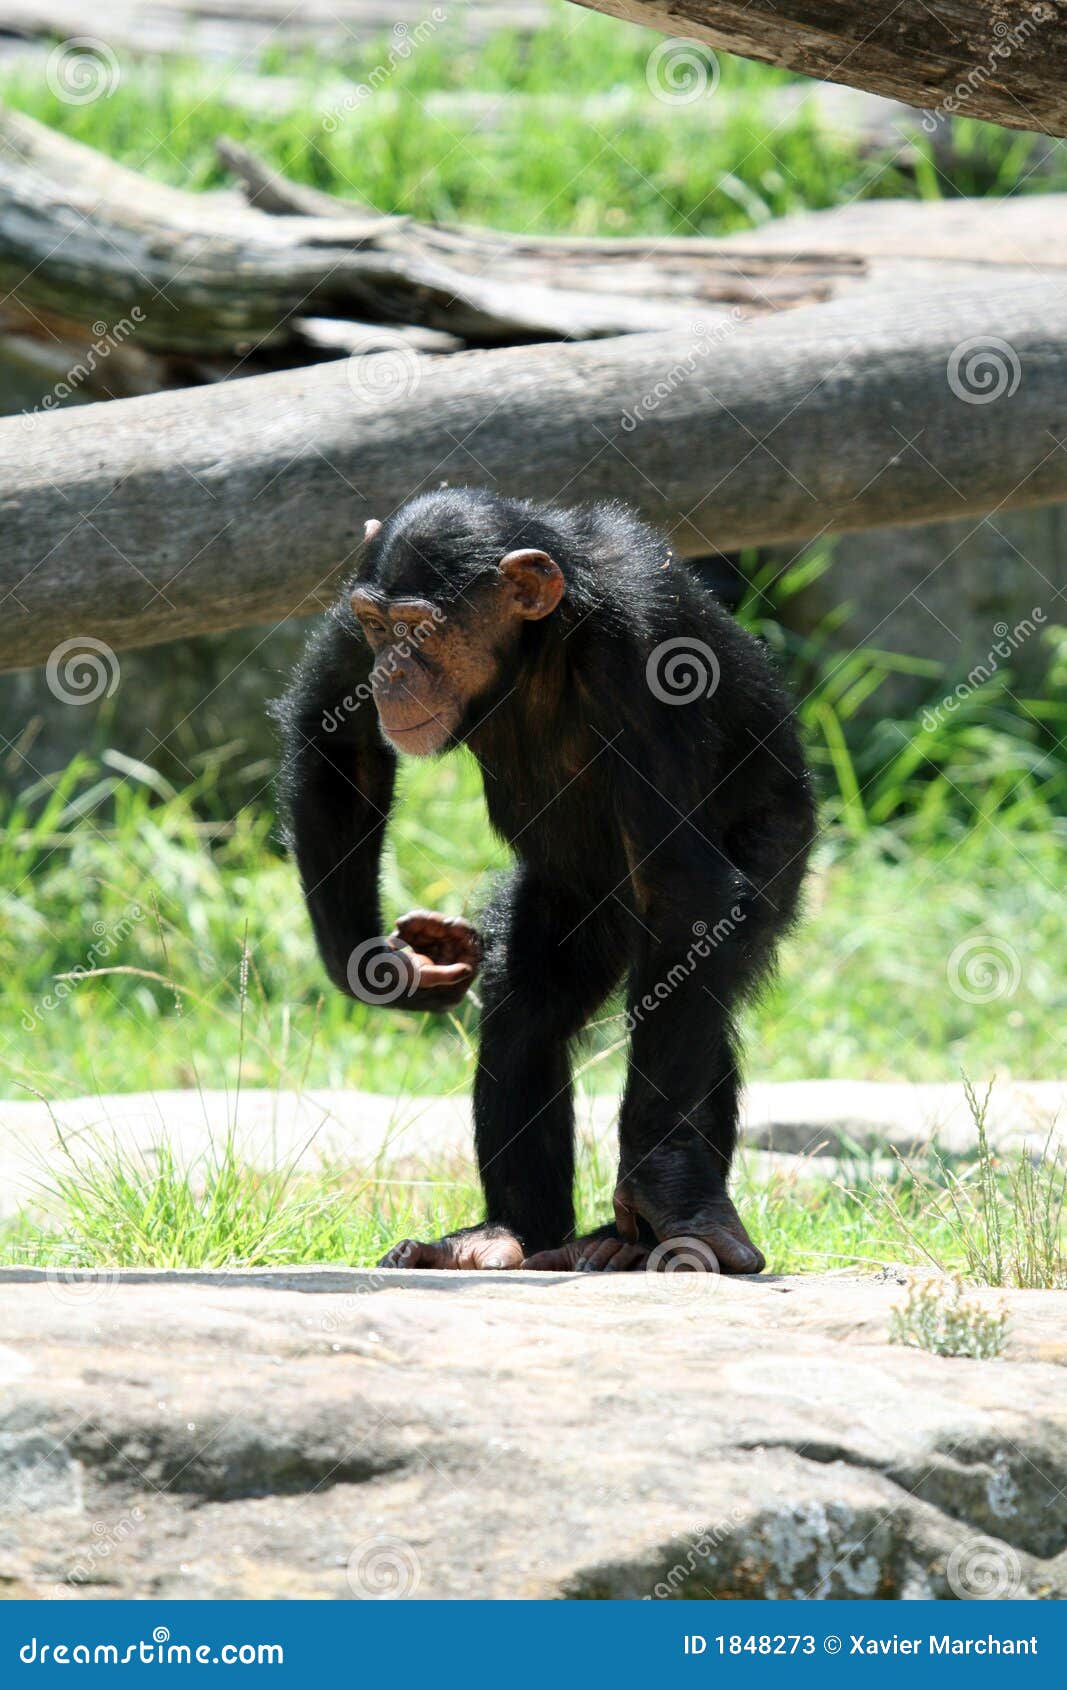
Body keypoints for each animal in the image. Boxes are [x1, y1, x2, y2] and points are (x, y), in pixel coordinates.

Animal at [275, 487, 815, 1271]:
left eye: (419, 631)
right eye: (378, 627)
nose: (389, 673)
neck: (535, 648)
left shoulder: (644, 654)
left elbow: (683, 889)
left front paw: (666, 1185)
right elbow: (337, 739)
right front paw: (382, 965)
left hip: (778, 846)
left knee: (693, 998)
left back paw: (641, 1236)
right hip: (573, 901)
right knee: (528, 1011)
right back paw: (512, 1233)